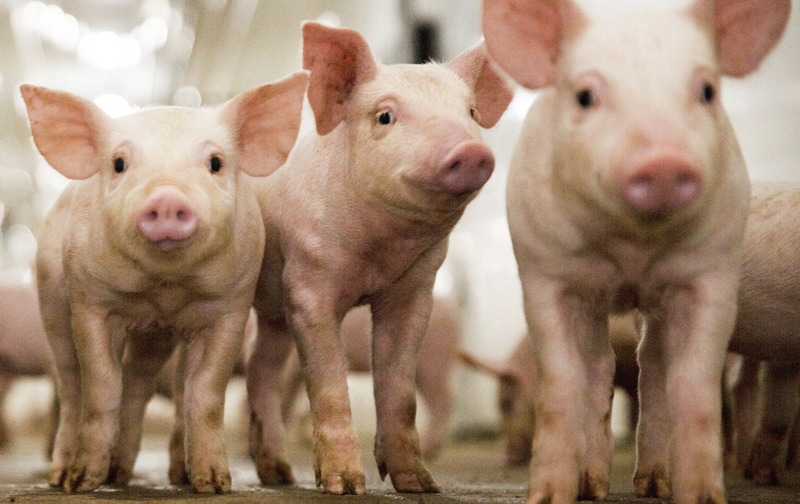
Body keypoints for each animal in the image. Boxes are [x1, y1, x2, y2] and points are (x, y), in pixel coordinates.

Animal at [21, 72, 308, 493]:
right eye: (119, 163)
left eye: (215, 163)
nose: (168, 198)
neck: (164, 289)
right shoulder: (91, 303)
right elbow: (101, 387)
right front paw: (83, 483)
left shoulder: (230, 307)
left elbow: (205, 391)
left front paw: (214, 485)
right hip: (52, 304)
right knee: (72, 387)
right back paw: (63, 477)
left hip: (155, 338)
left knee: (137, 382)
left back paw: (125, 474)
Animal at [481, 0, 790, 502]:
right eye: (585, 96)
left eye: (707, 90)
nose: (663, 162)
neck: (632, 251)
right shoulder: (546, 274)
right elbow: (563, 380)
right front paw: (548, 496)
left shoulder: (710, 274)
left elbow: (695, 385)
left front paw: (702, 496)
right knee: (601, 368)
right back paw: (593, 486)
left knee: (652, 368)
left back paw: (651, 483)